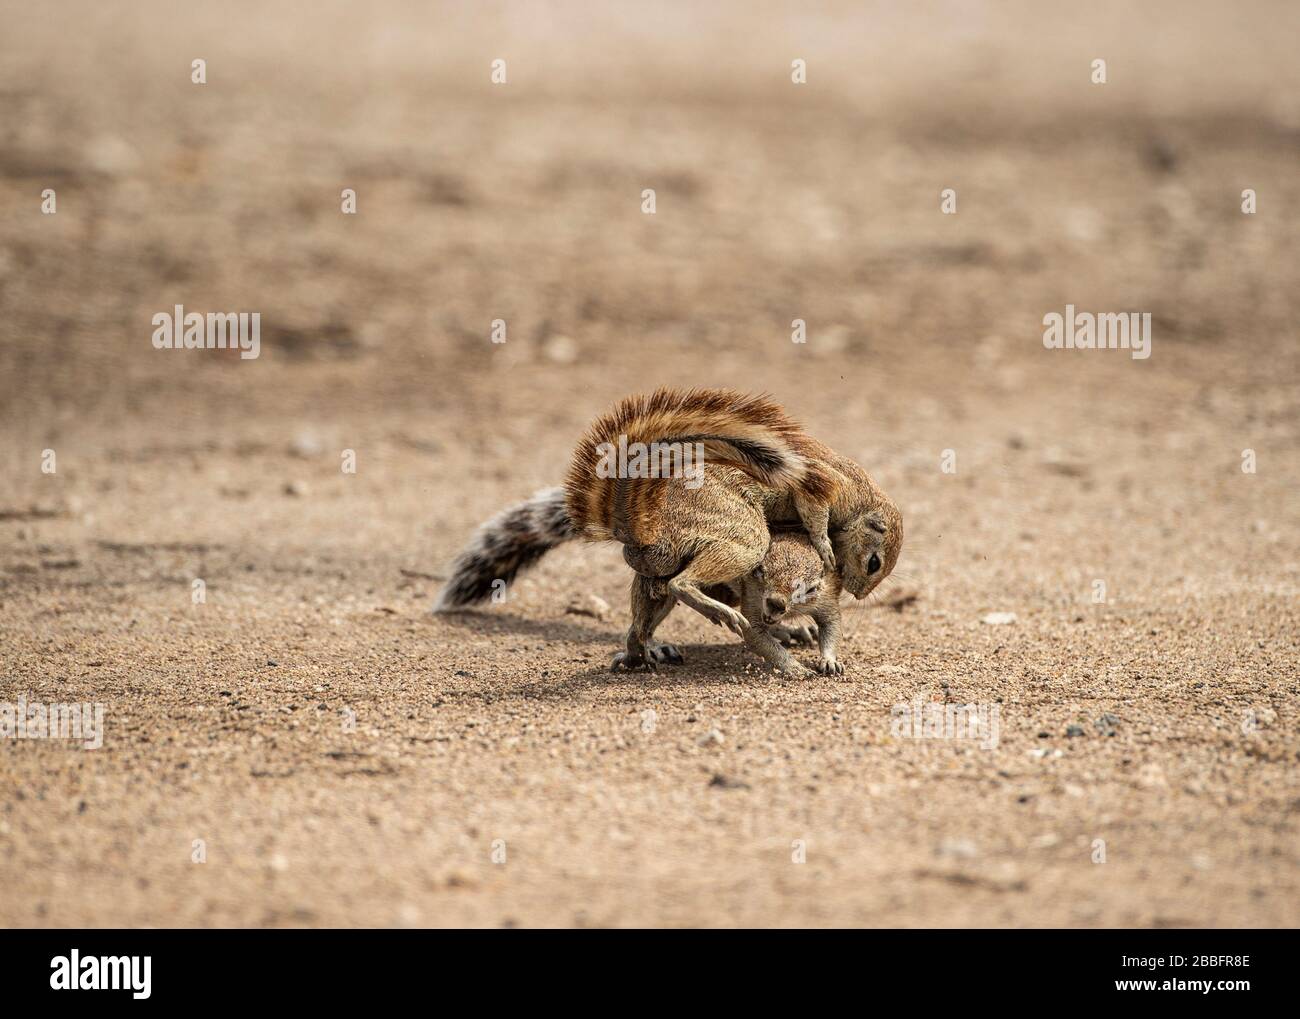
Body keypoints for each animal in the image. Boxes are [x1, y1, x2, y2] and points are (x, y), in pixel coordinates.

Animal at [435, 387, 902, 673]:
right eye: (874, 562)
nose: (858, 592)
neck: (860, 495)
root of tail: (641, 522)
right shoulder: (820, 488)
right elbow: (815, 516)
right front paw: (823, 546)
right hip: (743, 538)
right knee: (687, 585)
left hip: (655, 577)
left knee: (643, 620)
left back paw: (642, 652)